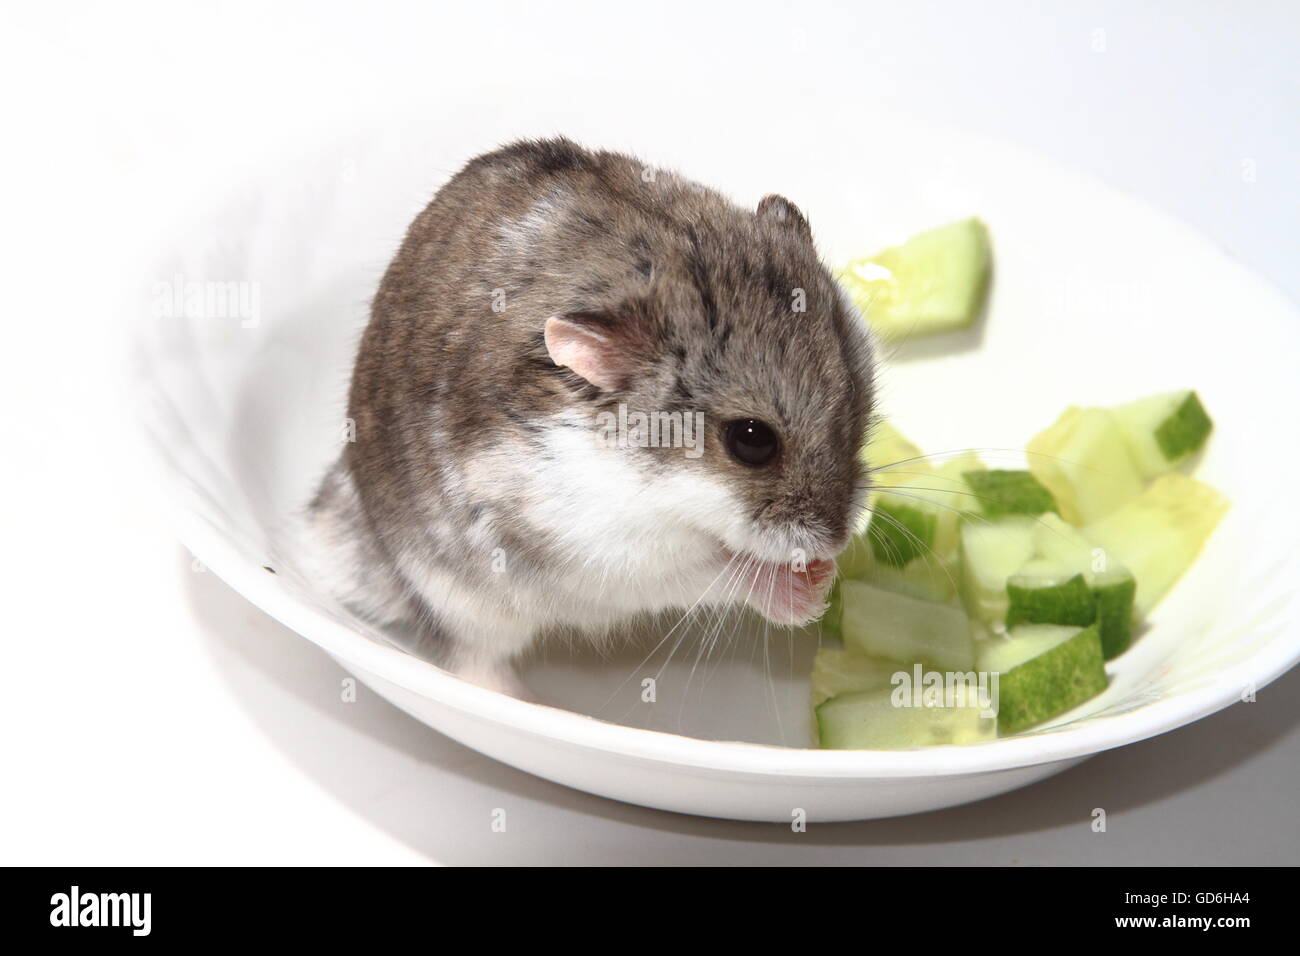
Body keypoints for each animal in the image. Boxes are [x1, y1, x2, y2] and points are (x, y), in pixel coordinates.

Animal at [307, 137, 876, 697]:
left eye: (858, 401)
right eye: (751, 440)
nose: (833, 543)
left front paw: (823, 578)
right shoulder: (599, 550)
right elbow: (714, 570)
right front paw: (807, 591)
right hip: (457, 600)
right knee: (470, 658)